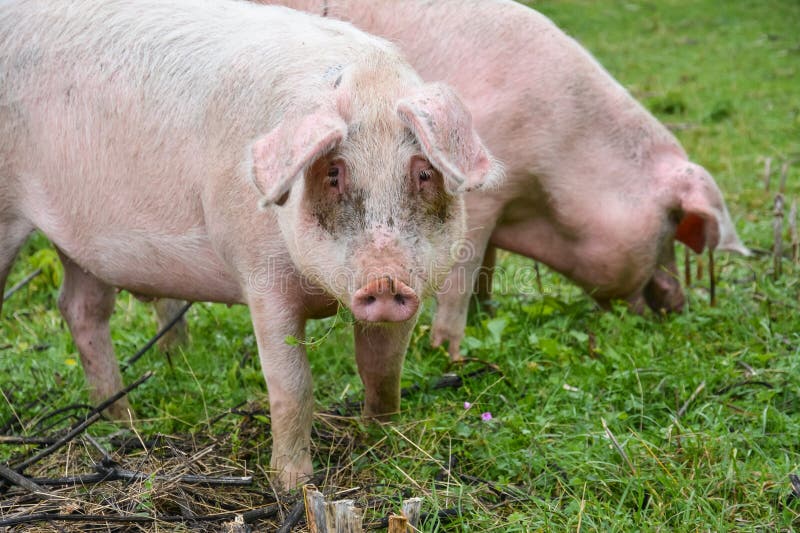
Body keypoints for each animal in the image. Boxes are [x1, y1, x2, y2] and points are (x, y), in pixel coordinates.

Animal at [0, 0, 500, 488]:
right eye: (333, 173)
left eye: (423, 172)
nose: (384, 281)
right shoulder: (259, 275)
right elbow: (292, 384)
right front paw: (294, 485)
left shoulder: (417, 283)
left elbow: (383, 367)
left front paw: (386, 443)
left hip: (82, 245)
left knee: (80, 309)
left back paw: (124, 422)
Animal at [262, 0, 749, 360]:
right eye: (671, 221)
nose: (679, 305)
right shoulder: (476, 197)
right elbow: (464, 270)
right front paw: (449, 353)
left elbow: (488, 267)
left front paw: (486, 315)